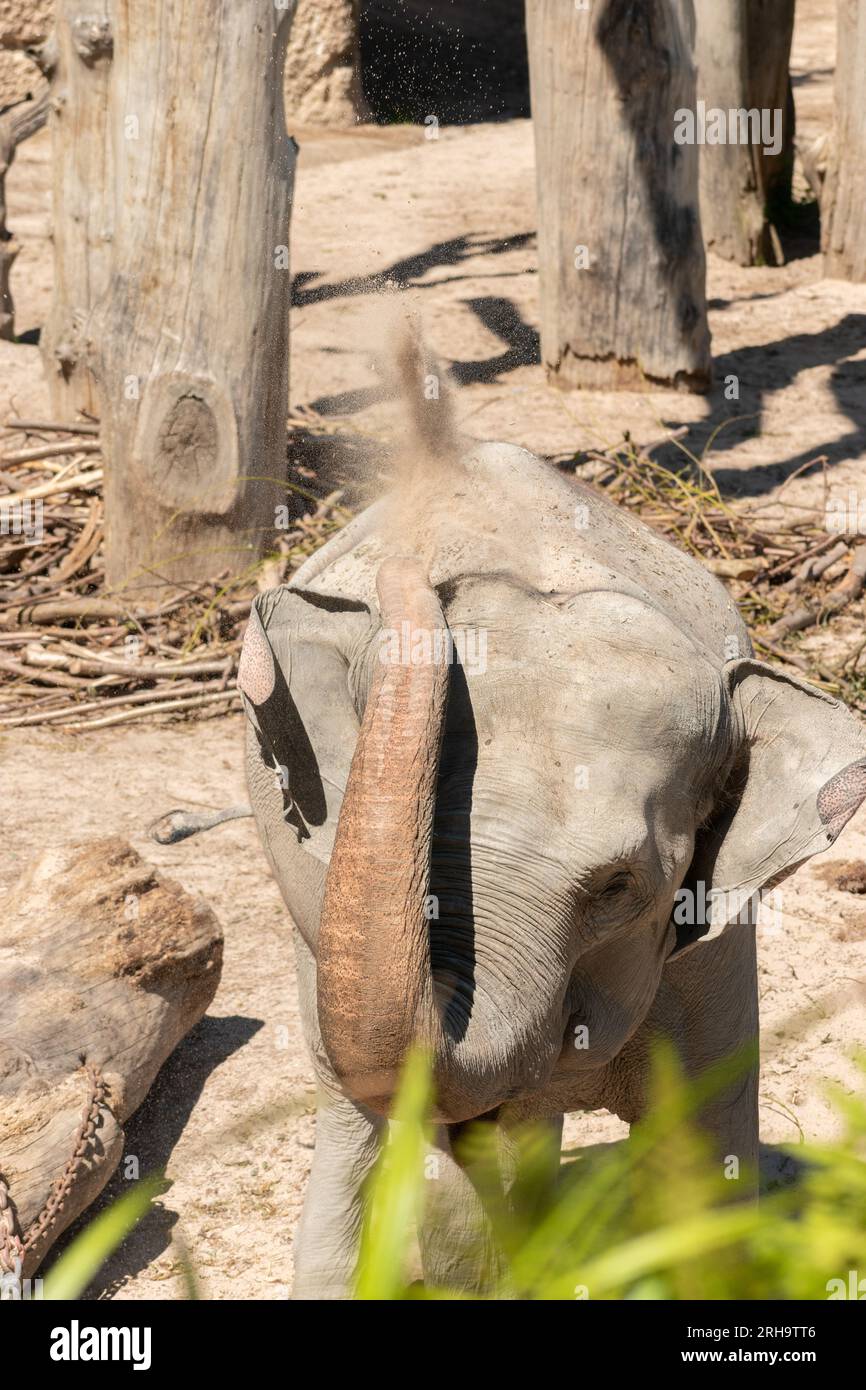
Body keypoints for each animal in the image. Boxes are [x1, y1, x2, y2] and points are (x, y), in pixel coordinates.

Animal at [238, 418, 866, 1299]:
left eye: (618, 886)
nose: (427, 583)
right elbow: (451, 1182)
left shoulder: (712, 952)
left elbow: (704, 1161)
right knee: (355, 1132)